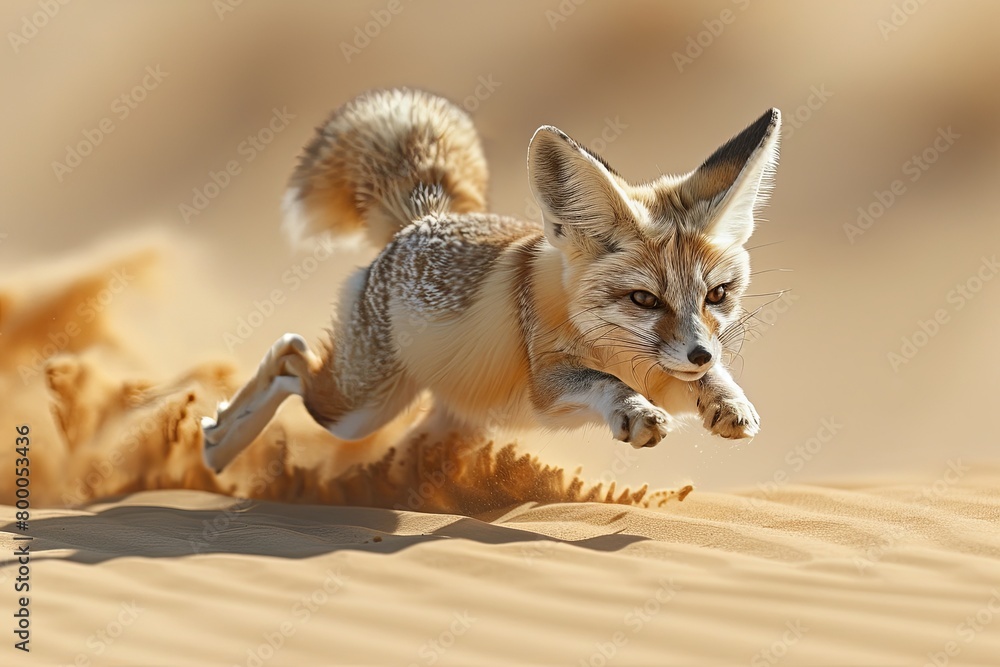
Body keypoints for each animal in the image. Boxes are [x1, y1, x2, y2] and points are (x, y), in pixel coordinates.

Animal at [201, 87, 781, 472]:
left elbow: (706, 382)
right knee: (289, 357)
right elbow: (606, 383)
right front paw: (635, 409)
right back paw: (220, 442)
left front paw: (728, 401)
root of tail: (421, 219)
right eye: (644, 299)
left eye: (717, 295)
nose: (700, 353)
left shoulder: (670, 373)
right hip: (357, 409)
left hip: (435, 411)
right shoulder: (550, 386)